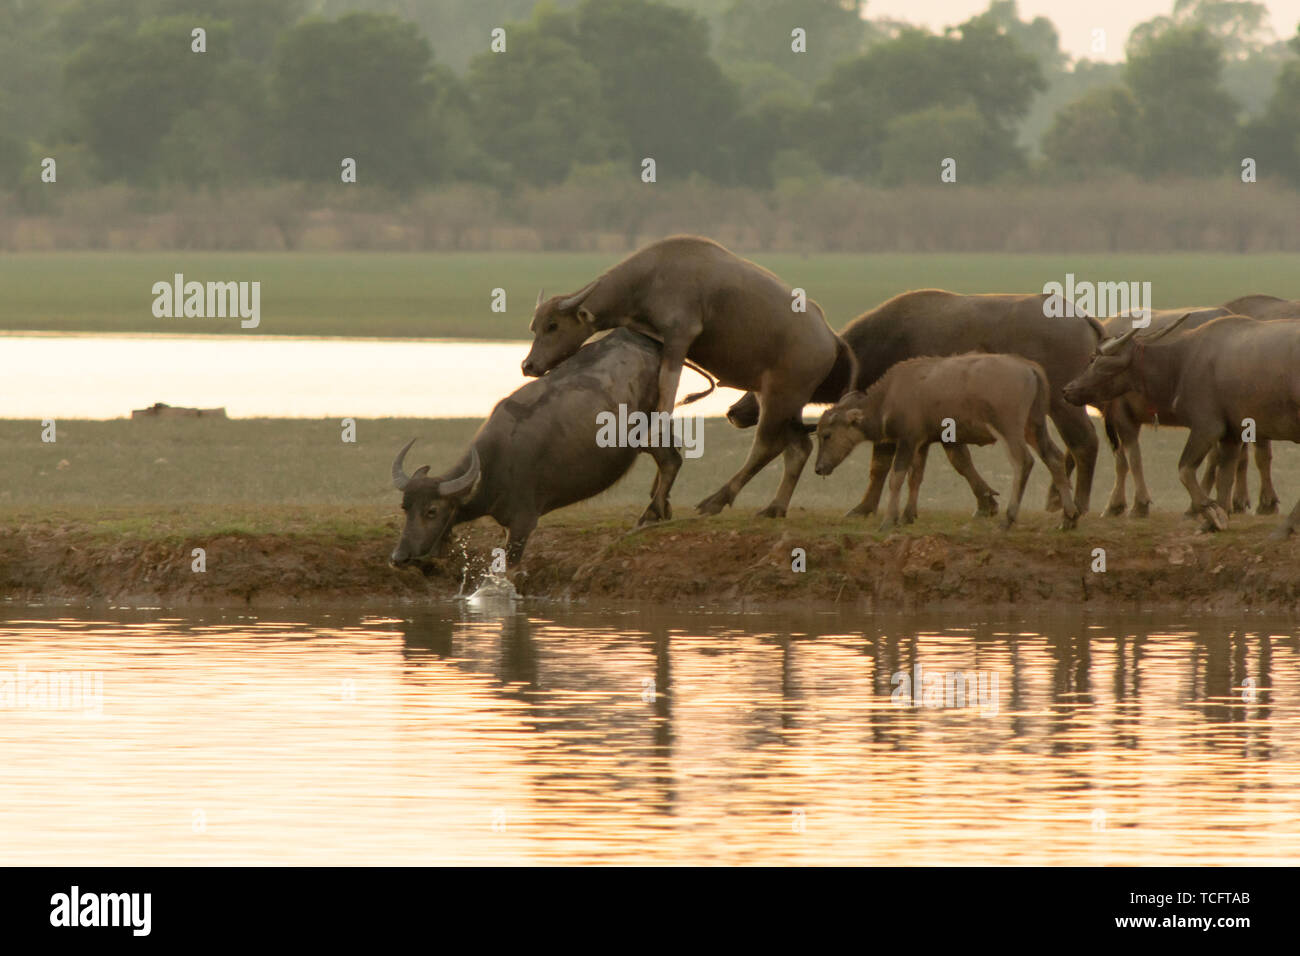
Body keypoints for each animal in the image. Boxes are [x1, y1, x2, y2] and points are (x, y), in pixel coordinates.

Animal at [390, 330, 682, 573]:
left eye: (432, 511)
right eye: (405, 507)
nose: (399, 557)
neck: (495, 463)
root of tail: (648, 343)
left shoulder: (523, 523)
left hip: (650, 429)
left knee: (671, 460)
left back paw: (651, 515)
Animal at [523, 235, 854, 518]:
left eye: (553, 325)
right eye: (534, 326)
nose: (528, 365)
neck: (650, 277)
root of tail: (831, 337)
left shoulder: (679, 338)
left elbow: (667, 394)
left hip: (780, 396)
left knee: (766, 446)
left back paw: (716, 500)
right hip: (779, 399)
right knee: (798, 448)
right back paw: (774, 507)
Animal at [815, 354, 1079, 532]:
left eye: (827, 435)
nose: (818, 468)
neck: (890, 395)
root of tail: (1030, 369)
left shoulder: (908, 440)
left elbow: (896, 478)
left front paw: (890, 520)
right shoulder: (923, 443)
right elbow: (915, 477)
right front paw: (908, 515)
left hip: (1009, 428)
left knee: (1023, 462)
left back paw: (1008, 518)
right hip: (1035, 427)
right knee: (1054, 458)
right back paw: (1069, 517)